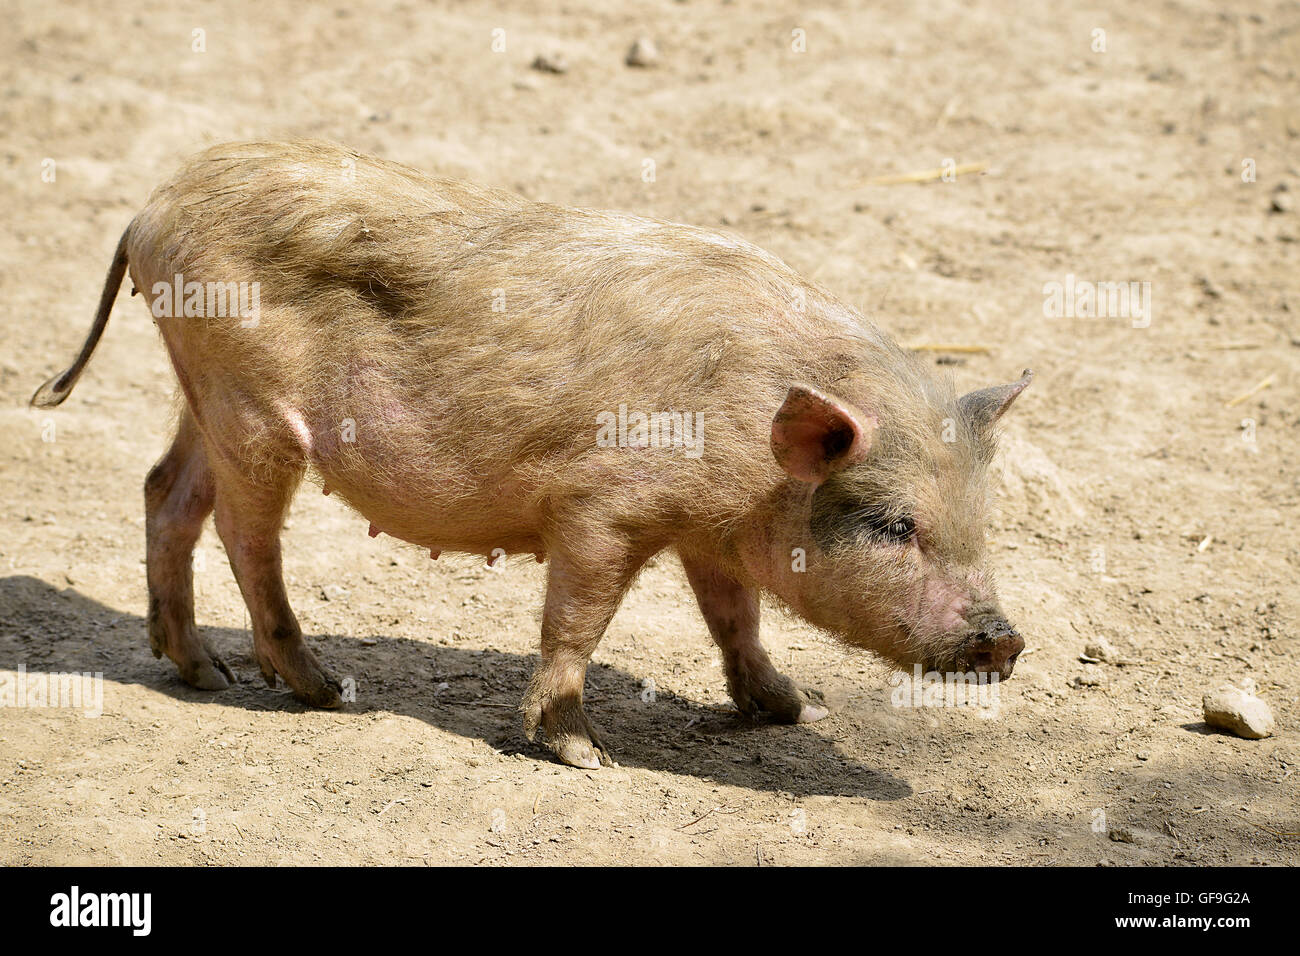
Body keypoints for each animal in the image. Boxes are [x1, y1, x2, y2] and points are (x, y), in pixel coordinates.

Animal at [33, 141, 1031, 769]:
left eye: (983, 525)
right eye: (894, 525)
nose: (1005, 636)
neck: (750, 446)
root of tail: (149, 209)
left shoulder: (704, 530)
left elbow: (735, 619)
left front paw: (794, 708)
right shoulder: (603, 507)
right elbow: (577, 622)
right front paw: (587, 756)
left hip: (201, 392)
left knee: (165, 491)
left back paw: (205, 672)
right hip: (253, 408)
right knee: (246, 534)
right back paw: (322, 690)